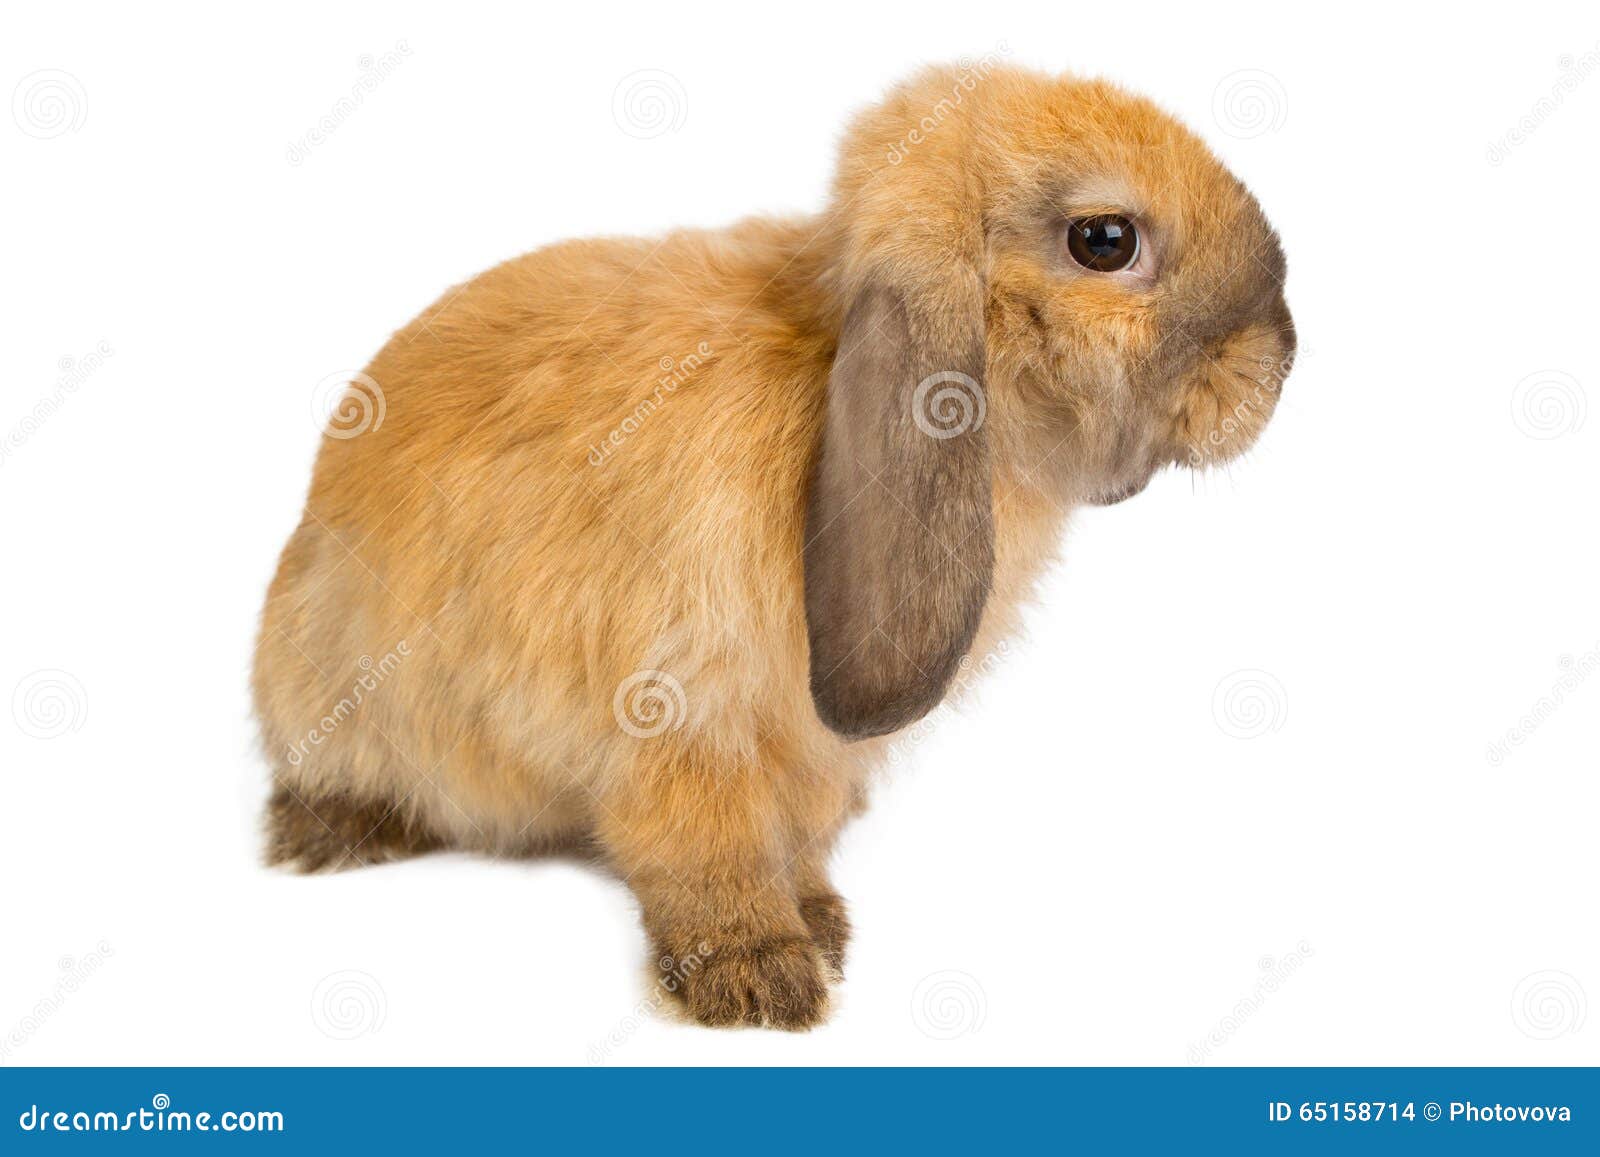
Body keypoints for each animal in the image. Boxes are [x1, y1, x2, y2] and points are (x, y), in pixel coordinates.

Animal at [253, 62, 1294, 1030]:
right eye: (1104, 241)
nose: (1280, 354)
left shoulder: (808, 752)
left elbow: (792, 838)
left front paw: (822, 921)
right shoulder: (683, 712)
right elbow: (706, 851)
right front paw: (762, 980)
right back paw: (328, 833)